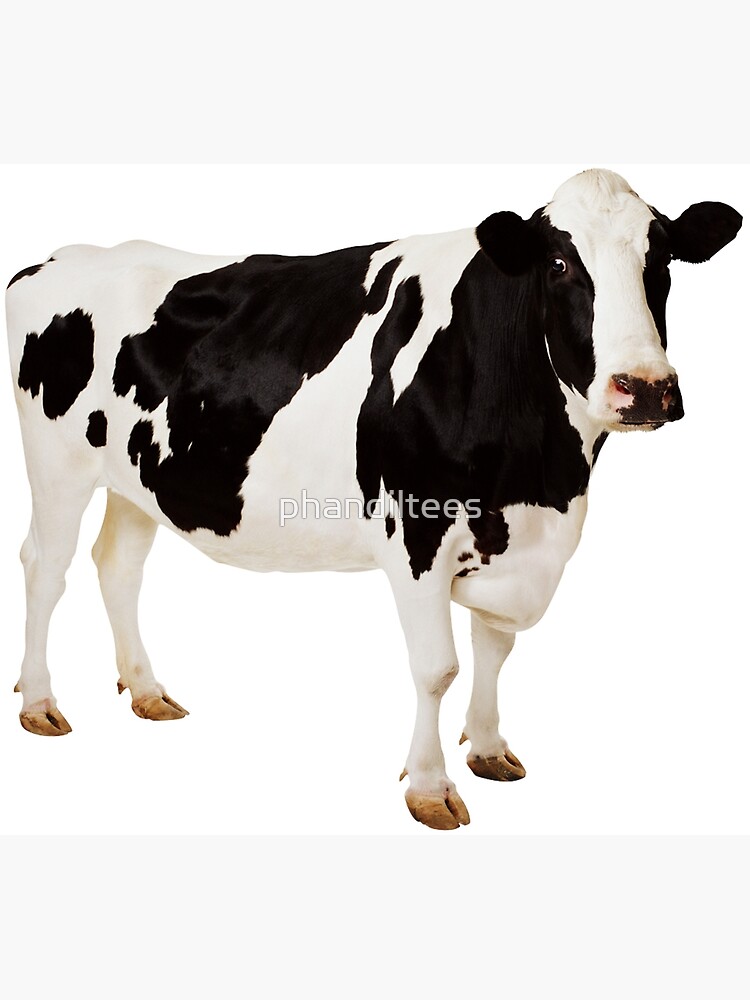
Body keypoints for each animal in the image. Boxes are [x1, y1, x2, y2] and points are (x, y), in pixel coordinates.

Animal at [5, 168, 741, 830]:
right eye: (560, 262)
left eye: (661, 259)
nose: (644, 387)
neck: (542, 475)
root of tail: (55, 259)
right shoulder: (416, 533)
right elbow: (438, 667)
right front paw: (430, 787)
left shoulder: (518, 540)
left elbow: (495, 647)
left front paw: (490, 749)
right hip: (58, 464)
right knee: (45, 567)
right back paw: (39, 702)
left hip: (139, 478)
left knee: (118, 567)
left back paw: (148, 690)